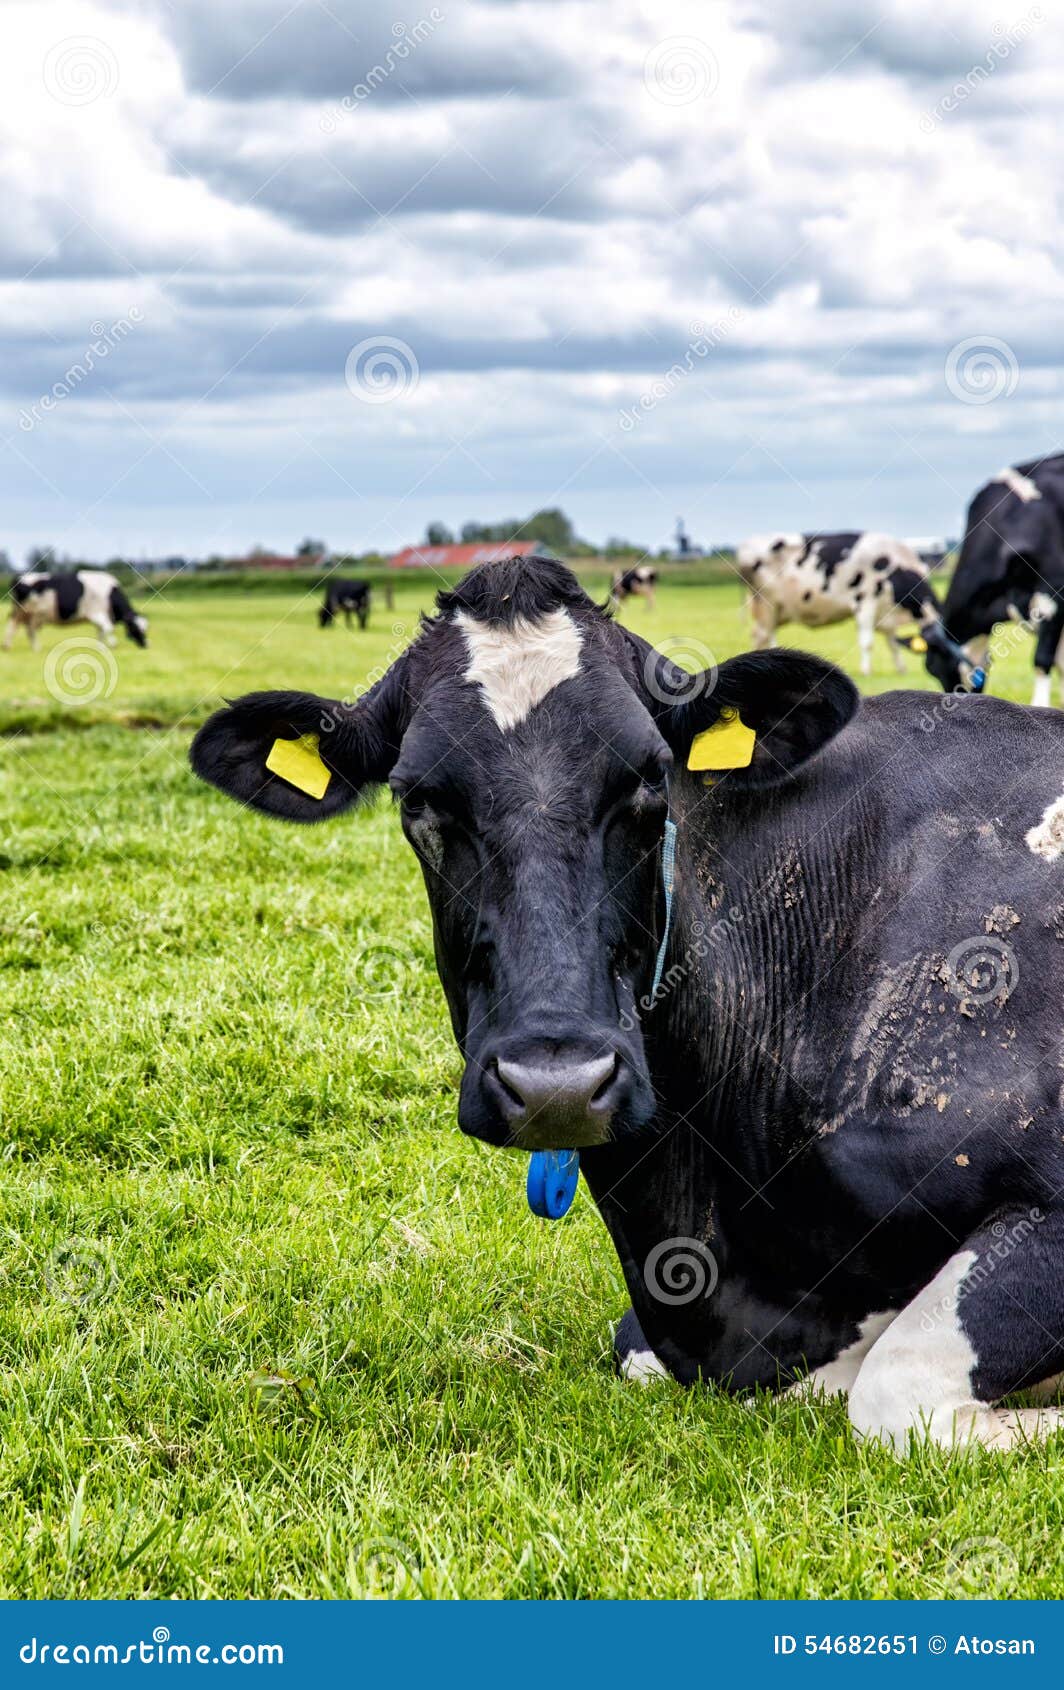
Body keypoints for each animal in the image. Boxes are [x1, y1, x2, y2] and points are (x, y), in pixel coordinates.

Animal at [3, 570, 148, 650]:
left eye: (145, 628)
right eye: (136, 628)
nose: (146, 645)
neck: (110, 593)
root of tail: (18, 578)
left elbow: (101, 632)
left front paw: (101, 646)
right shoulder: (97, 613)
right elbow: (108, 628)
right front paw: (113, 644)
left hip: (31, 615)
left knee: (28, 630)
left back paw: (33, 648)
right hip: (23, 612)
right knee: (16, 626)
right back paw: (11, 646)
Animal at [737, 531, 941, 678]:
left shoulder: (887, 612)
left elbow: (893, 644)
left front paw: (901, 669)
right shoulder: (865, 601)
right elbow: (867, 642)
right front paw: (866, 671)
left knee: (760, 636)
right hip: (766, 605)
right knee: (763, 635)